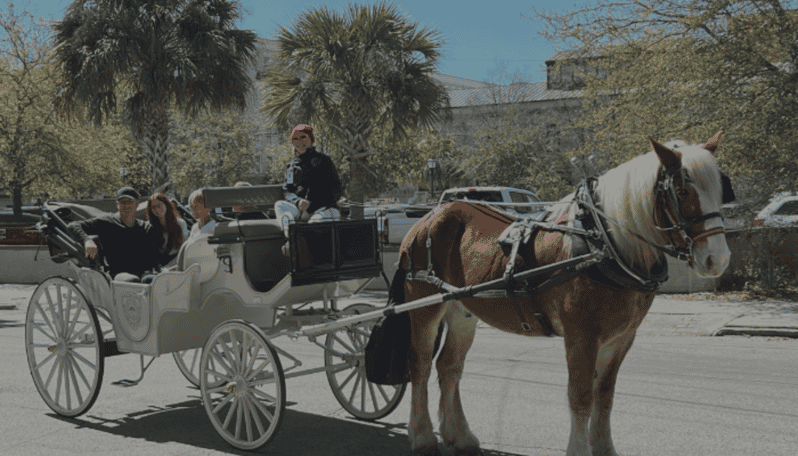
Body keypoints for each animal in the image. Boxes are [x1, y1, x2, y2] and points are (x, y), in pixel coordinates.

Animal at [397, 133, 731, 456]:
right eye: (683, 191)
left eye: (721, 188)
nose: (718, 259)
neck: (603, 242)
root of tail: (428, 217)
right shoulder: (581, 336)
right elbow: (581, 397)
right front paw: (580, 448)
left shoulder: (621, 338)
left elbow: (604, 396)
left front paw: (604, 447)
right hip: (424, 309)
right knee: (420, 364)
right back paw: (422, 435)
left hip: (462, 312)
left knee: (449, 367)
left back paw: (460, 435)